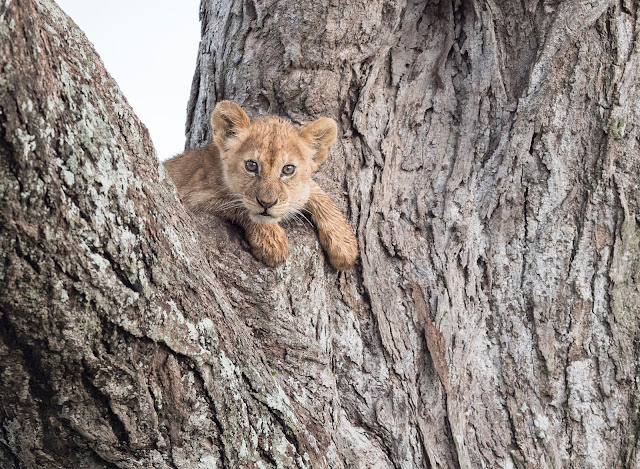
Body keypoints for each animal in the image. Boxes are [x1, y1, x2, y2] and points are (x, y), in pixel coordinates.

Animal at [164, 101, 358, 271]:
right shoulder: (191, 197)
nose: (266, 204)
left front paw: (344, 244)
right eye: (251, 165)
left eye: (288, 169)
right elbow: (238, 206)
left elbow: (315, 191)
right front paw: (272, 241)